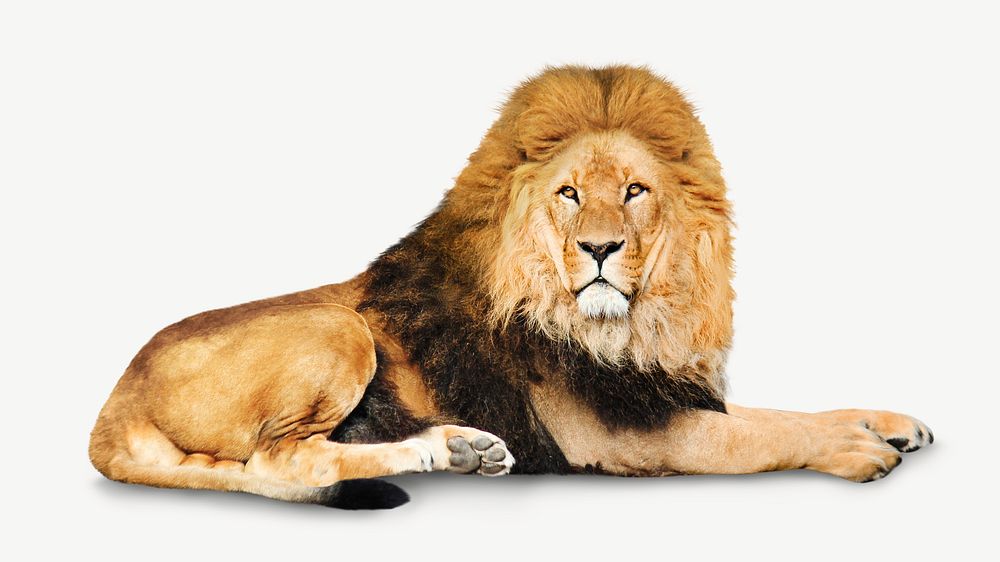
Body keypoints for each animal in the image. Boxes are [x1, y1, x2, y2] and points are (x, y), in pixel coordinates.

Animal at [89, 65, 933, 509]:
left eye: (635, 191)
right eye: (569, 194)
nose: (600, 248)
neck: (629, 328)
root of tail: (114, 402)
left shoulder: (659, 394)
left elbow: (792, 411)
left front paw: (892, 422)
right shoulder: (625, 435)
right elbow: (766, 435)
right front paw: (855, 450)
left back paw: (464, 450)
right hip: (338, 331)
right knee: (281, 464)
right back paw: (442, 451)